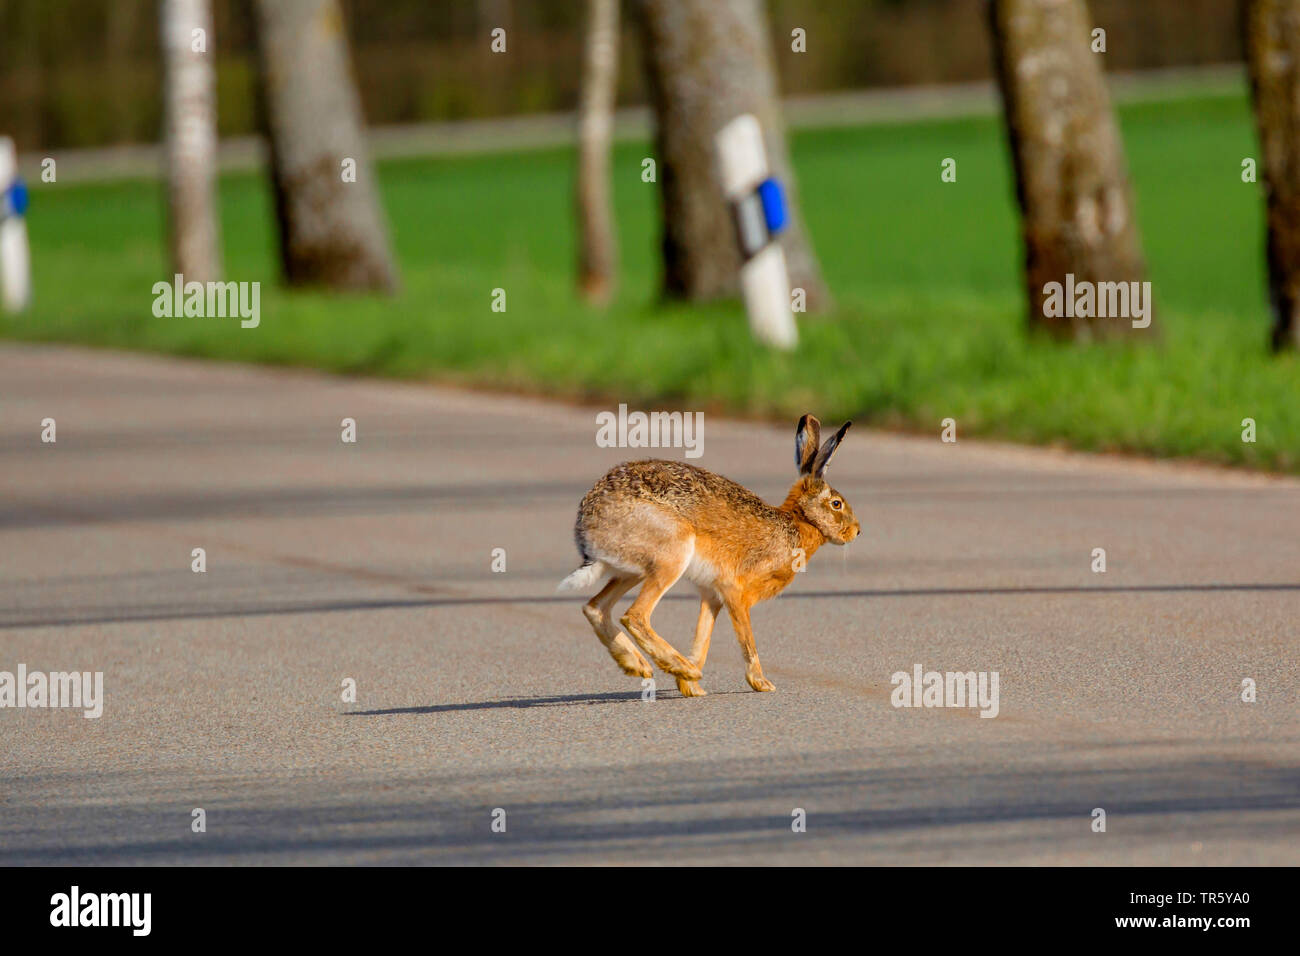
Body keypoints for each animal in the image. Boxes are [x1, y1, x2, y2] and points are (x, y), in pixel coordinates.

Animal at [558, 414, 859, 696]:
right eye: (836, 504)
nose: (857, 531)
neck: (798, 522)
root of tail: (588, 527)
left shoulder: (712, 595)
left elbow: (703, 638)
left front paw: (691, 687)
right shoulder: (734, 590)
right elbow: (747, 641)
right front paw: (761, 683)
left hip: (633, 569)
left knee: (595, 608)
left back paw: (641, 665)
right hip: (672, 553)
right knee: (635, 616)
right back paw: (675, 666)